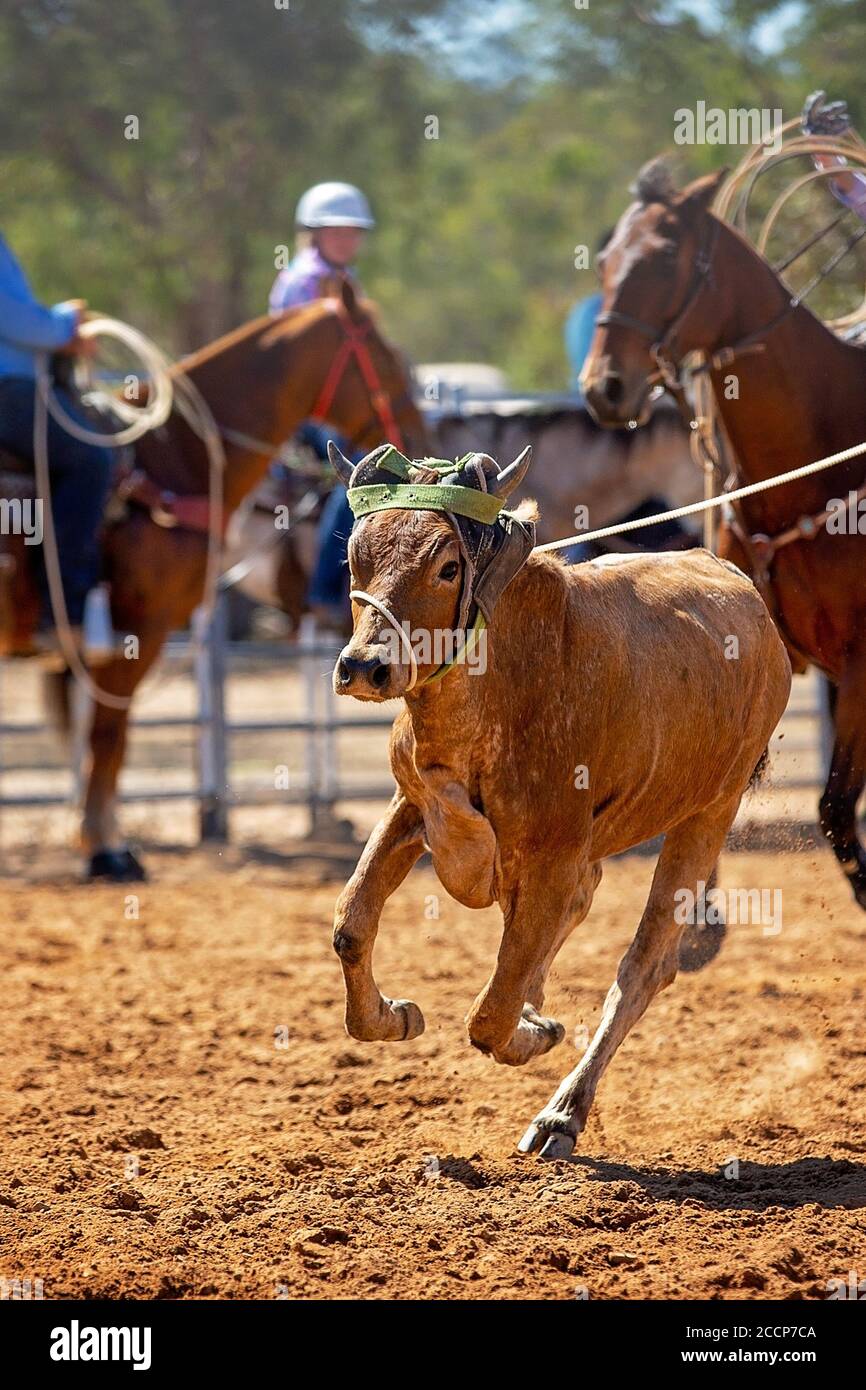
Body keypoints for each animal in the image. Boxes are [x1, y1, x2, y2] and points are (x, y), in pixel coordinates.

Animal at [327, 441, 791, 1159]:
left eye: (448, 566)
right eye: (357, 558)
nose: (363, 666)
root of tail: (746, 596)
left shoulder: (553, 855)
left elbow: (492, 1008)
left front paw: (533, 1033)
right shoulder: (412, 810)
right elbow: (352, 925)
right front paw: (393, 1016)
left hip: (708, 813)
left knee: (643, 967)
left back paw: (563, 1113)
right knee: (585, 910)